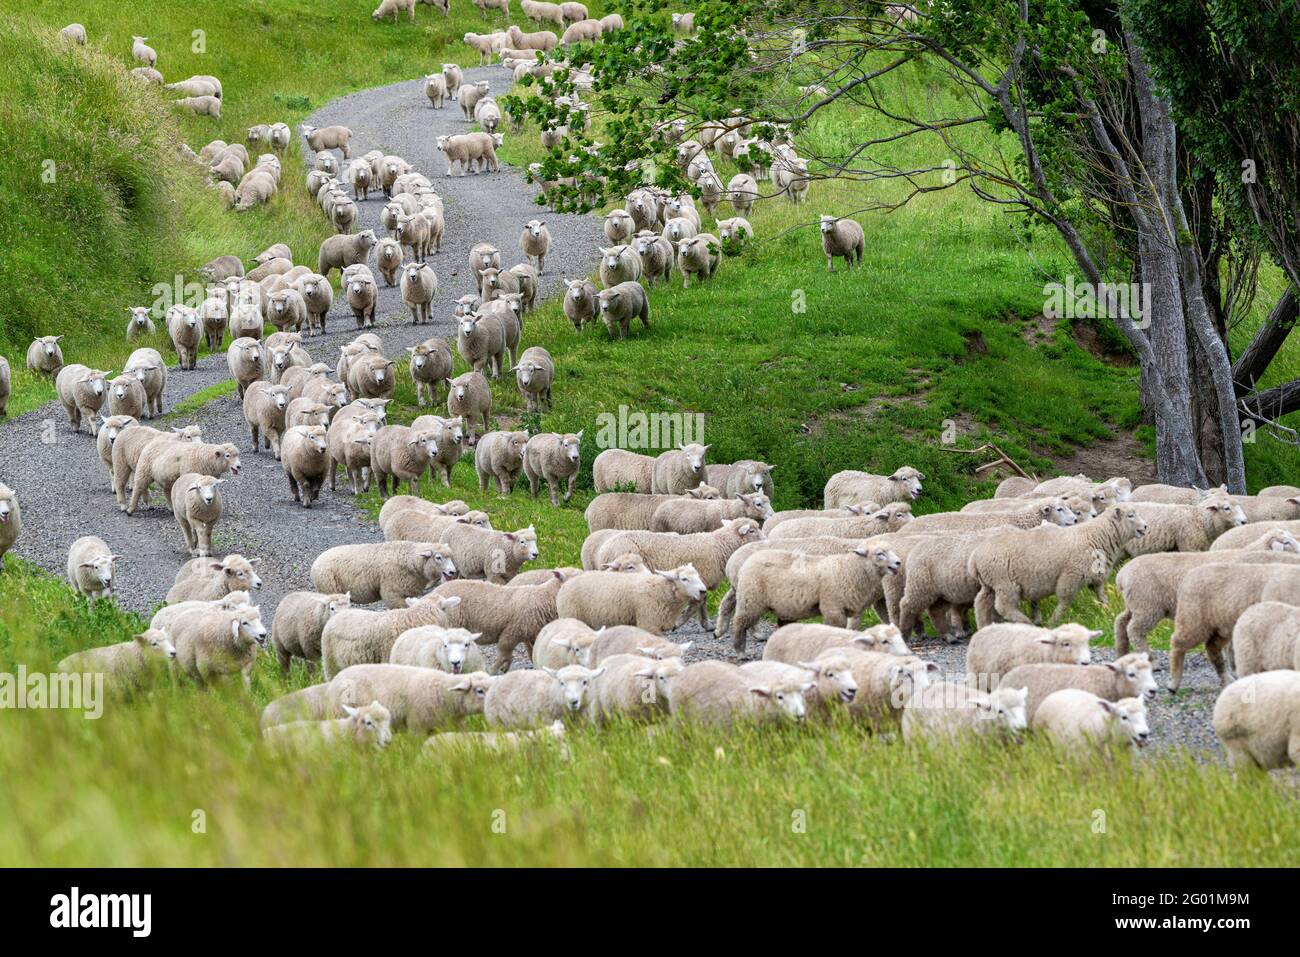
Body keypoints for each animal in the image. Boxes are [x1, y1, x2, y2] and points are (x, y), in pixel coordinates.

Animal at [312, 542, 458, 610]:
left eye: (451, 557)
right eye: (438, 557)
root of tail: (316, 562)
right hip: (329, 588)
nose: (453, 572)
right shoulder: (392, 593)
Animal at [556, 566, 708, 634]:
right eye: (684, 579)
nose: (703, 591)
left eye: (698, 576)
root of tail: (567, 582)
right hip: (570, 615)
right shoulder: (649, 623)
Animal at [729, 546, 902, 652]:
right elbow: (834, 628)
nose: (898, 562)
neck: (851, 569)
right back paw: (739, 650)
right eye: (880, 553)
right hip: (750, 599)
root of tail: (748, 560)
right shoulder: (832, 607)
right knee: (739, 622)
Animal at [968, 505, 1149, 628]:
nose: (1146, 526)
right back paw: (1025, 622)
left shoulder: (1095, 577)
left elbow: (1101, 595)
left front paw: (1108, 611)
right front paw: (1054, 622)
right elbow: (1064, 601)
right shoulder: (1070, 576)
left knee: (981, 603)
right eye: (1130, 515)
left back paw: (983, 626)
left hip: (989, 584)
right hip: (1005, 583)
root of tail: (975, 558)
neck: (1096, 536)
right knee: (1003, 606)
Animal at [1168, 563, 1300, 692]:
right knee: (1179, 641)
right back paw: (1173, 683)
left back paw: (1227, 679)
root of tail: (1188, 575)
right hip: (1194, 614)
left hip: (1221, 624)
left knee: (1212, 646)